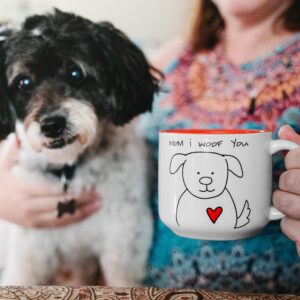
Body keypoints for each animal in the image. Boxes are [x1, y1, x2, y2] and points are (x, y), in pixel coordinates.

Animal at [0, 9, 161, 286]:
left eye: (75, 73)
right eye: (24, 82)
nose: (52, 125)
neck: (69, 168)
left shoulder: (125, 238)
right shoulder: (30, 251)